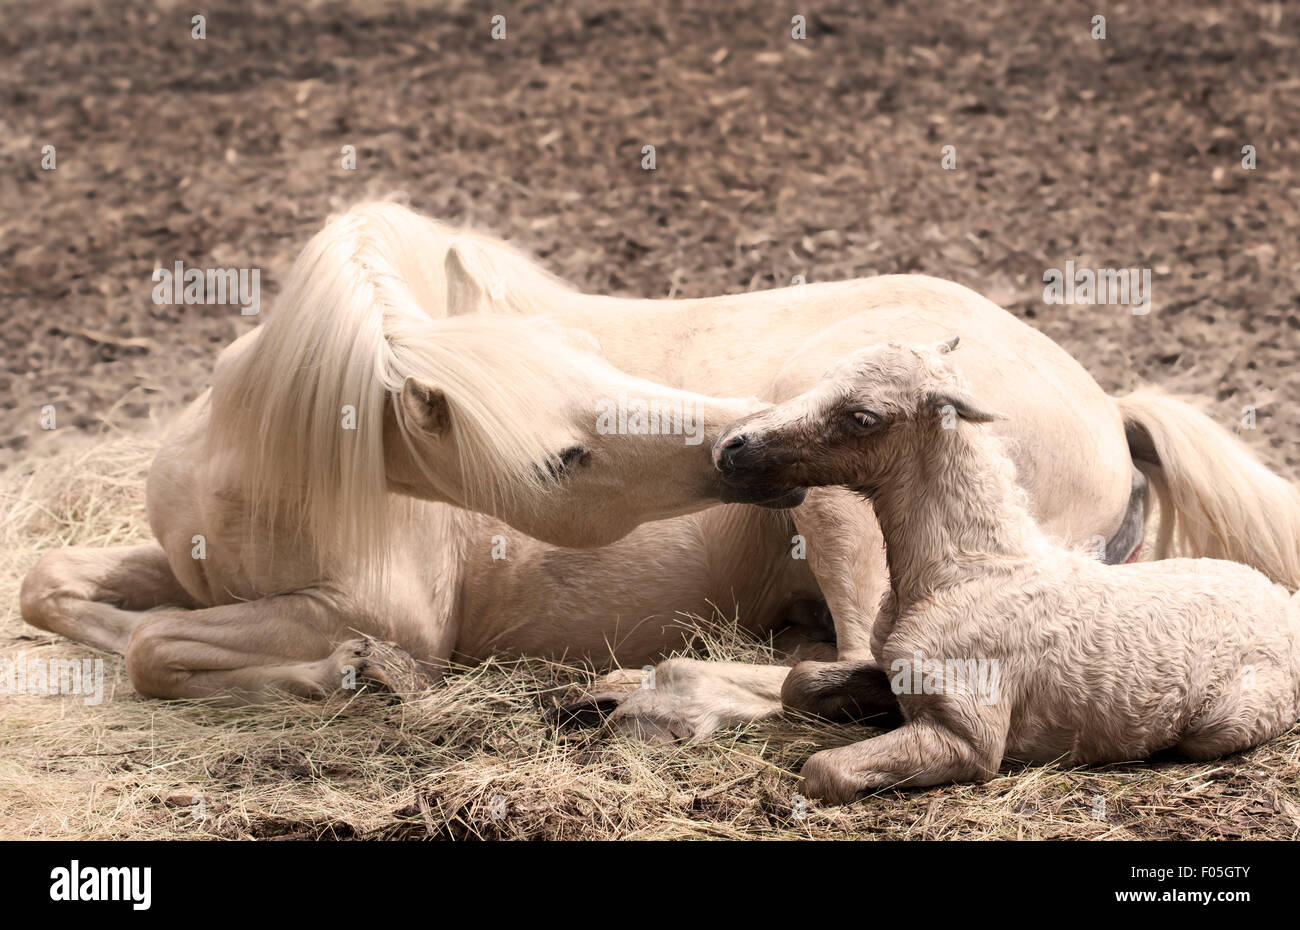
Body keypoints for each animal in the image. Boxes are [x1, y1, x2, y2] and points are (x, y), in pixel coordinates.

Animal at [20, 202, 1300, 737]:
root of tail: (1106, 409)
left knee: (854, 668)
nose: (743, 442)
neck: (266, 466)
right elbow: (54, 590)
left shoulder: (369, 602)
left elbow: (156, 649)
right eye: (563, 454)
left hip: (846, 521)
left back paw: (638, 697)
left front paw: (356, 675)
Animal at [713, 339, 1300, 801]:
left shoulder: (969, 739)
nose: (729, 448)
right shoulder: (898, 677)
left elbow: (823, 769)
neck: (960, 576)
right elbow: (801, 682)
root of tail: (1283, 603)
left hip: (1225, 721)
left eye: (863, 416)